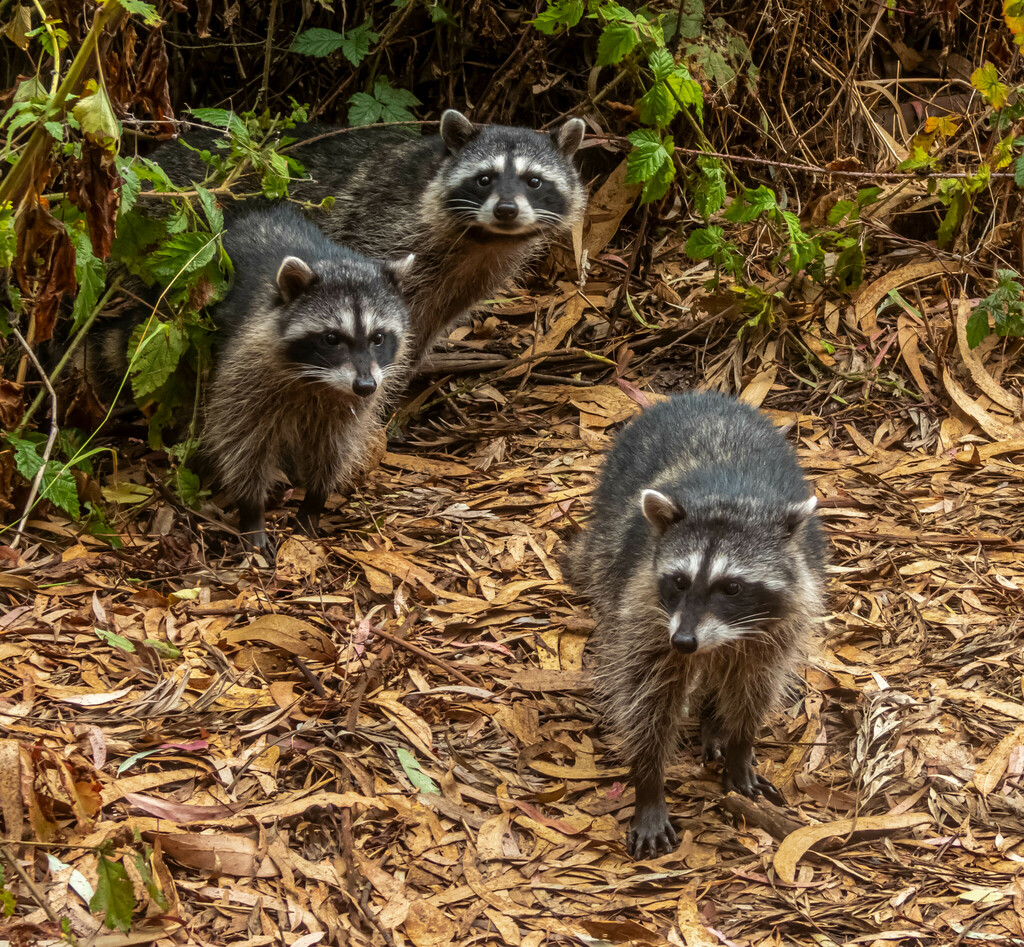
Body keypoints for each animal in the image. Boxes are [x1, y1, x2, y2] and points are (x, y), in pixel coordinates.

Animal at [150, 110, 587, 364]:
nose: (506, 210)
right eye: (484, 179)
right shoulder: (381, 225)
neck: (483, 241)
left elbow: (420, 333)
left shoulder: (467, 280)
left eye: (533, 181)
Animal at [201, 204, 413, 550]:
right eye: (331, 339)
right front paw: (252, 510)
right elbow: (242, 441)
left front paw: (315, 501)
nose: (365, 386)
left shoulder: (355, 401)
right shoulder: (248, 367)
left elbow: (336, 447)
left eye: (379, 338)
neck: (322, 382)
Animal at [567, 391, 827, 859]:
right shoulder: (645, 611)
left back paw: (715, 722)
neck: (727, 500)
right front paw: (648, 782)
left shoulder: (783, 619)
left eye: (732, 587)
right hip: (609, 529)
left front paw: (741, 744)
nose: (685, 641)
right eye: (679, 581)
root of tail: (700, 395)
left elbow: (756, 684)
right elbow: (646, 700)